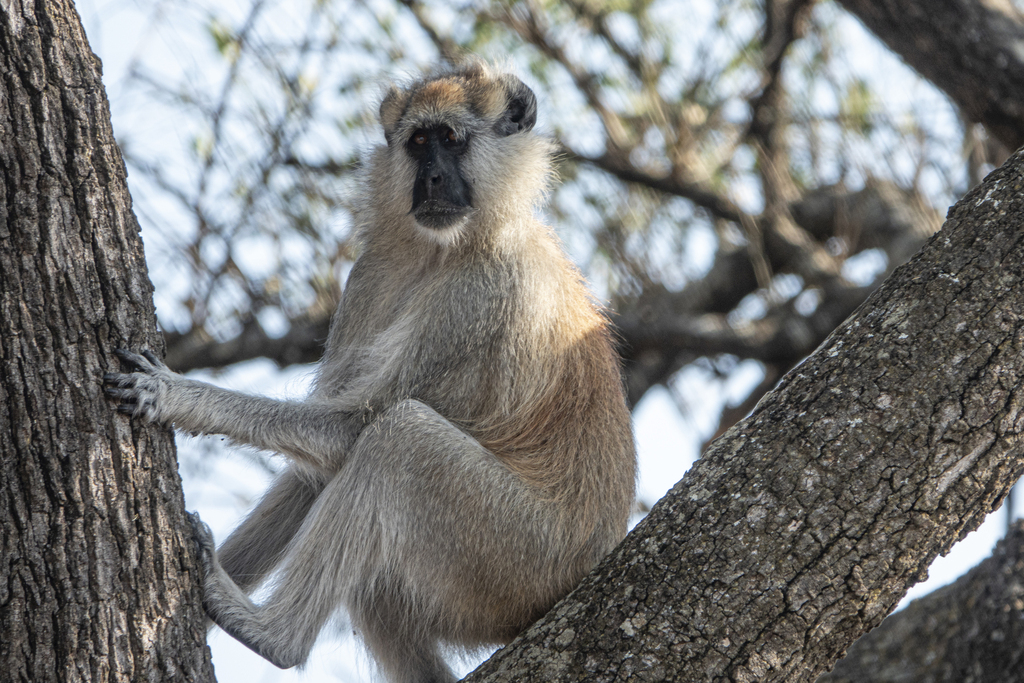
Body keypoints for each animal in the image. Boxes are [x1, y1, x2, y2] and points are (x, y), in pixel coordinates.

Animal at [104, 60, 636, 683]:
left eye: (451, 138)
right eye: (418, 143)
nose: (433, 179)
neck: (443, 250)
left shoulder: (485, 292)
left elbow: (351, 431)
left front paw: (174, 394)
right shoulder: (372, 272)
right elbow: (315, 469)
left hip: (515, 557)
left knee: (399, 437)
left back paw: (272, 635)